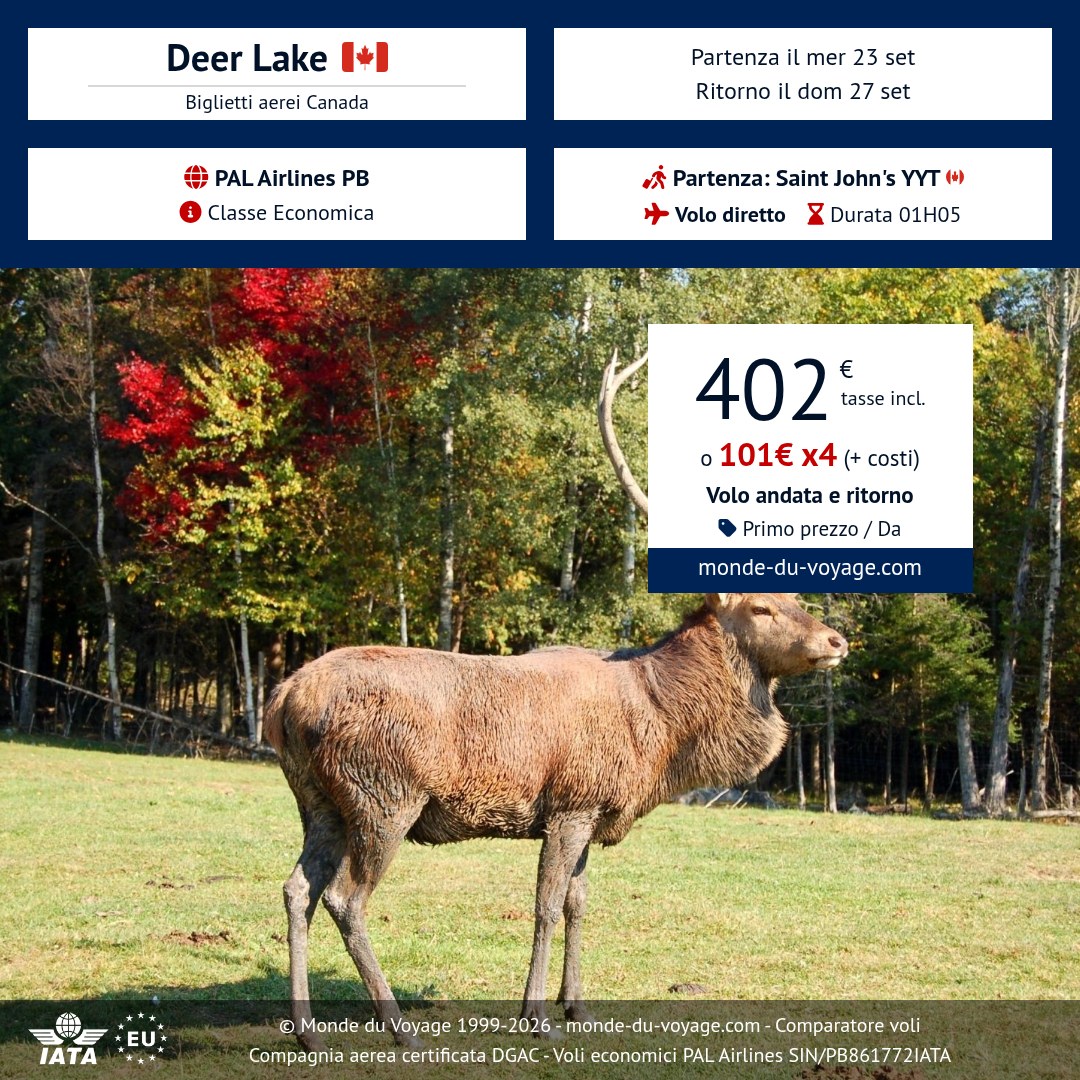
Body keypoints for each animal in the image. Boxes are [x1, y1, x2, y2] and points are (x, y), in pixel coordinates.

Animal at [265, 349, 848, 1048]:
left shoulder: (595, 810)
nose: (837, 639)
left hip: (318, 798)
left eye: (795, 594)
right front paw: (536, 1013)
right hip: (384, 794)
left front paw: (579, 1007)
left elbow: (578, 903)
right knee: (344, 896)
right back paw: (398, 1024)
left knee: (297, 886)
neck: (658, 727)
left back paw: (306, 1027)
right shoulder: (572, 802)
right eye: (762, 606)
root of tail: (283, 699)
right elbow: (544, 904)